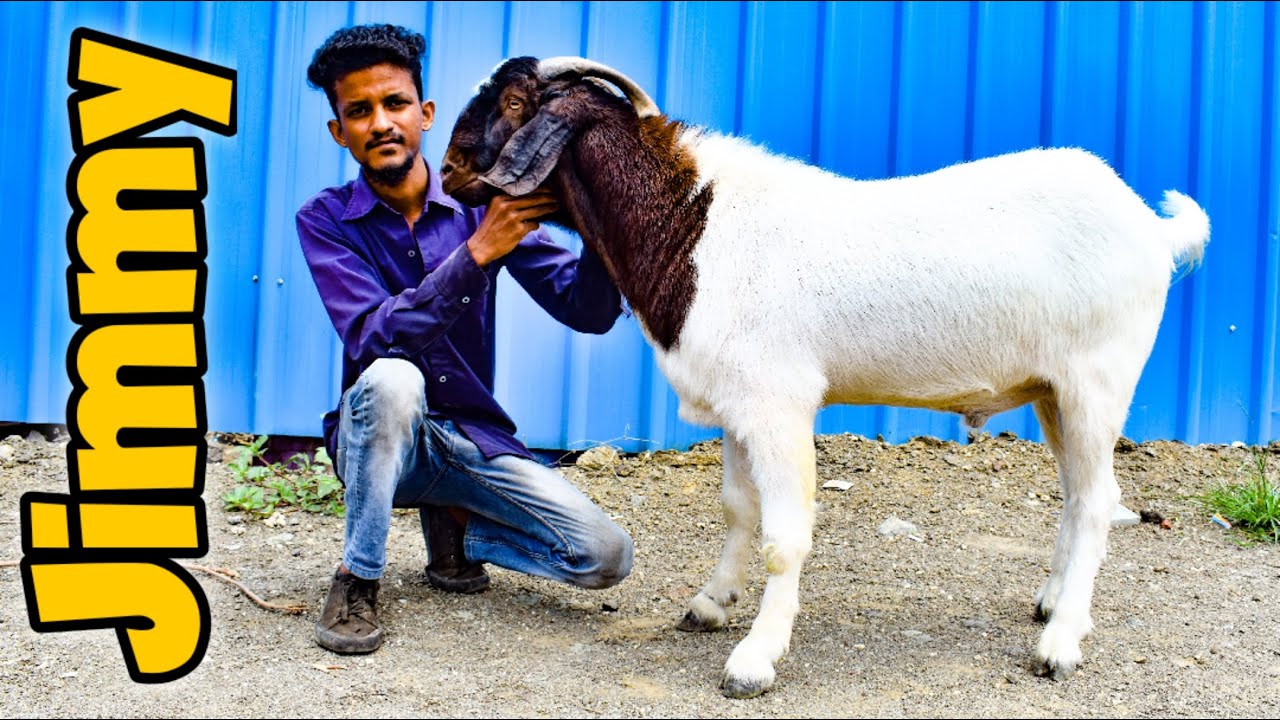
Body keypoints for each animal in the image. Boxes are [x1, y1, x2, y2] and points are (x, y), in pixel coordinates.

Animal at [440, 56, 1210, 698]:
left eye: (514, 100)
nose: (445, 170)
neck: (696, 225)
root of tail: (1152, 227)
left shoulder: (777, 404)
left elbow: (784, 537)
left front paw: (754, 660)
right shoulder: (738, 406)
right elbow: (738, 509)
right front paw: (709, 605)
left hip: (1097, 381)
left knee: (1098, 501)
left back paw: (1059, 644)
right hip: (1054, 392)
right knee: (1076, 496)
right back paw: (1048, 603)